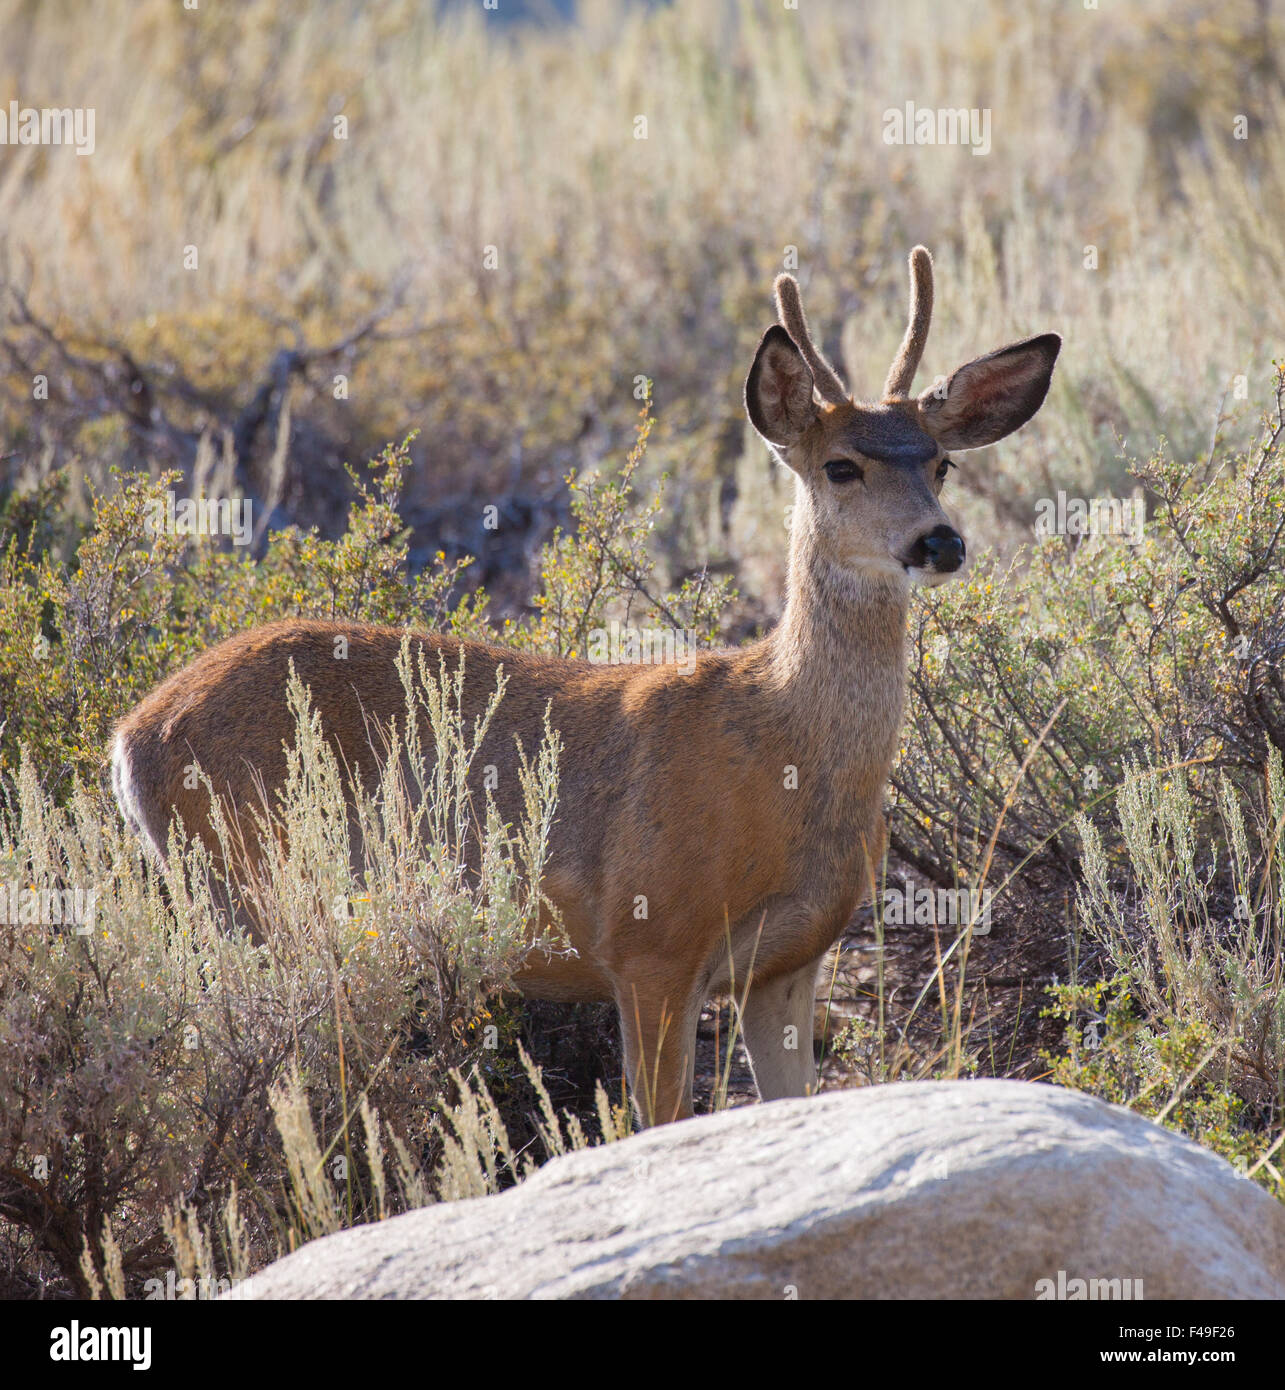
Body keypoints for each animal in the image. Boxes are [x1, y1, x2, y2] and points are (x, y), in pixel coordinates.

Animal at [111, 247, 1060, 1125]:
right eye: (840, 466)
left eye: (940, 465)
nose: (938, 541)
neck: (785, 754)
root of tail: (131, 735)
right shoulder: (649, 942)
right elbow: (659, 1123)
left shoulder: (790, 962)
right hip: (249, 882)